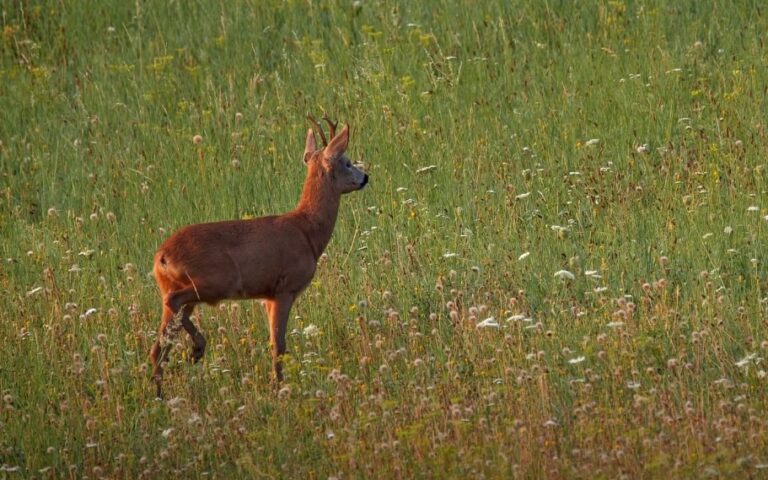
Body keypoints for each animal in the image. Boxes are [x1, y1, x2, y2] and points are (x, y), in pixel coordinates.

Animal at [149, 115, 368, 398]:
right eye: (348, 162)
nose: (365, 177)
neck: (307, 231)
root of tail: (161, 257)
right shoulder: (285, 288)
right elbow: (279, 346)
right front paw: (279, 389)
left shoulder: (267, 295)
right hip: (214, 282)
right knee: (172, 305)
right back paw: (197, 348)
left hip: (182, 288)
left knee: (159, 346)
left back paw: (163, 393)